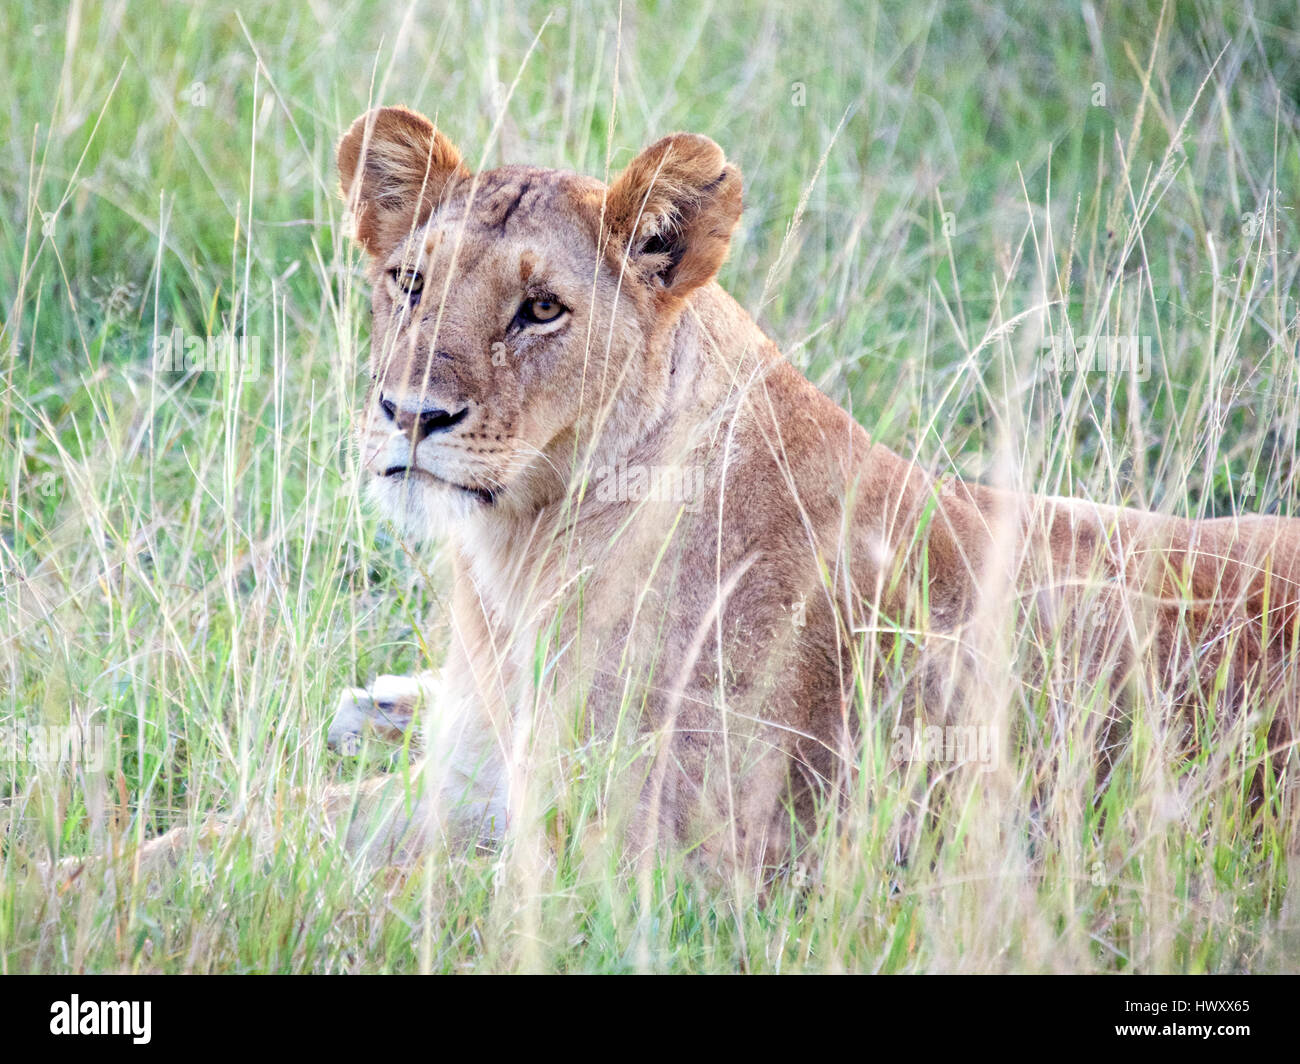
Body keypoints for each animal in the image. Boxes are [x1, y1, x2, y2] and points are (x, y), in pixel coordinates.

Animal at [64, 105, 1300, 886]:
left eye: (541, 310)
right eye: (409, 282)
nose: (409, 415)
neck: (517, 556)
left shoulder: (670, 862)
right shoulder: (467, 787)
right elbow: (213, 844)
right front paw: (61, 883)